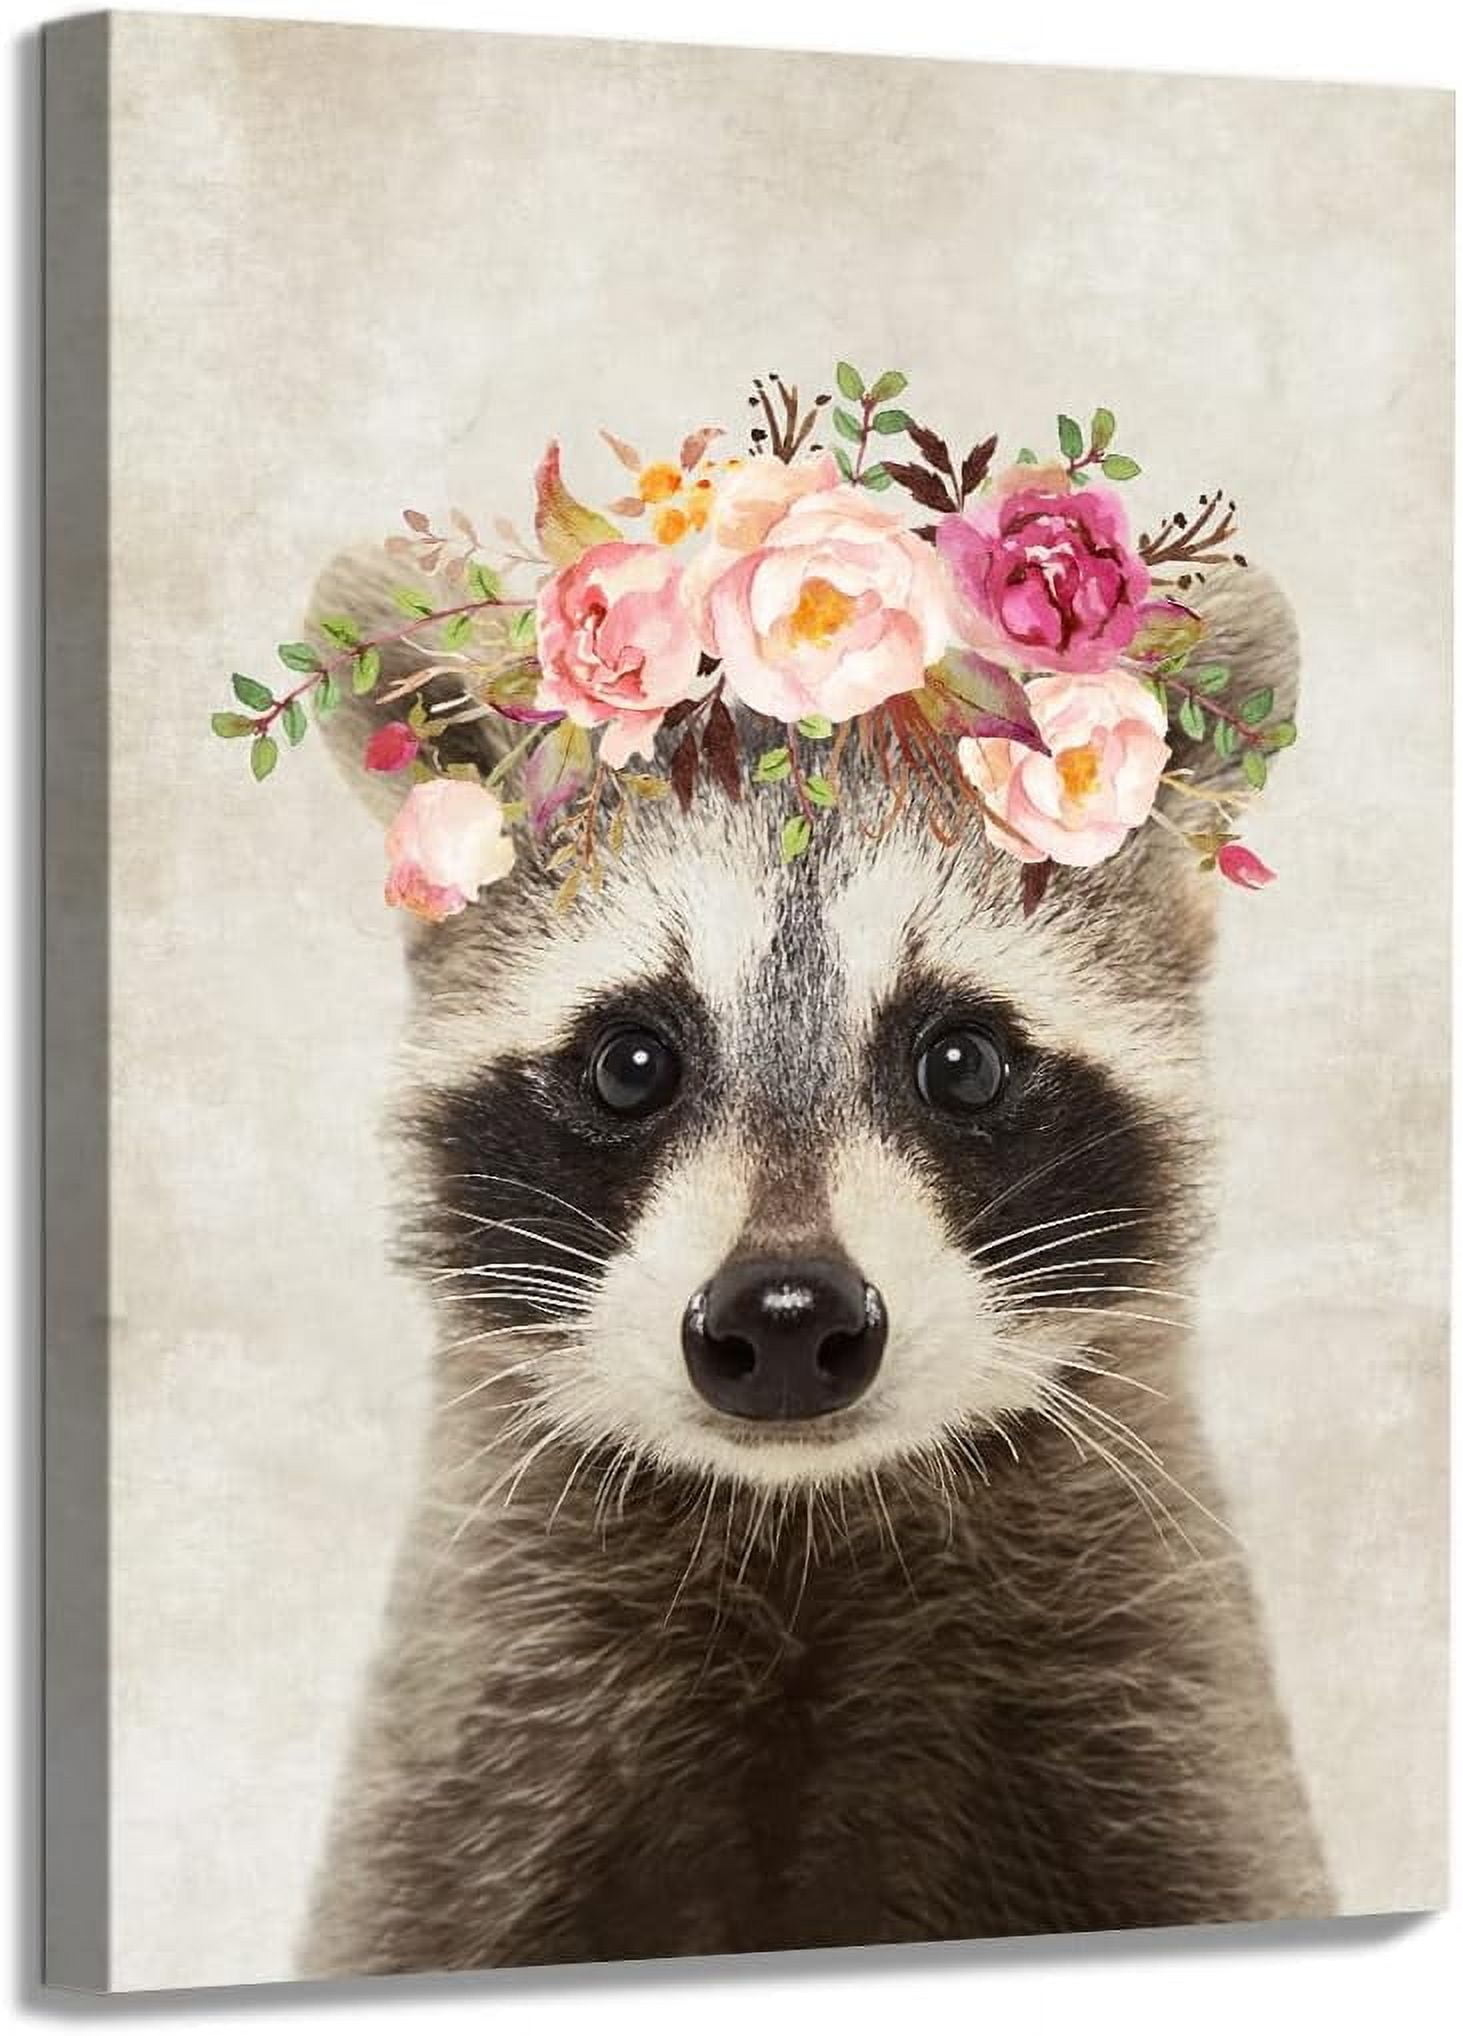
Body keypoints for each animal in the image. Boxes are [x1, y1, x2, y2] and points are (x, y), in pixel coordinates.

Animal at [297, 549, 1331, 1977]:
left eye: (963, 1060)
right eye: (632, 1060)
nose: (784, 1314)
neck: (800, 1527)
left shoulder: (1165, 1725)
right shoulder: (474, 1765)